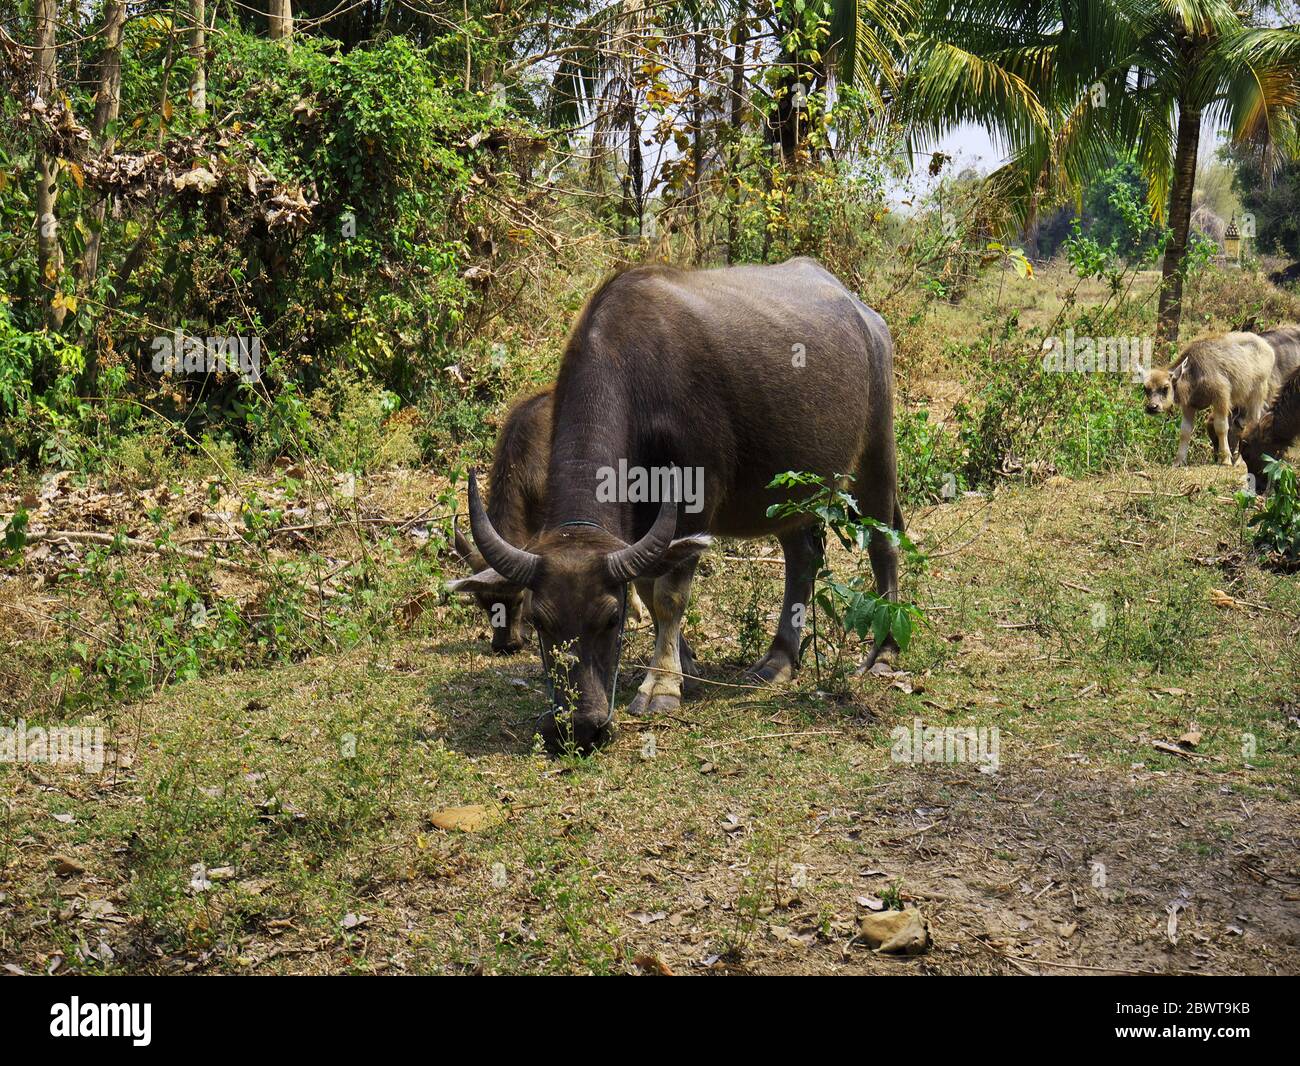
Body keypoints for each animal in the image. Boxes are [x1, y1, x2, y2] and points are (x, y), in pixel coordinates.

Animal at [448, 258, 901, 753]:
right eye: (540, 619)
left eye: (611, 619)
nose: (579, 727)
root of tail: (867, 317)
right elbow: (648, 587)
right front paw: (687, 665)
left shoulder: (692, 499)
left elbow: (668, 594)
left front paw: (661, 686)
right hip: (787, 493)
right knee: (803, 558)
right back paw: (779, 660)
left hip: (875, 457)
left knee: (885, 543)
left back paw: (884, 653)